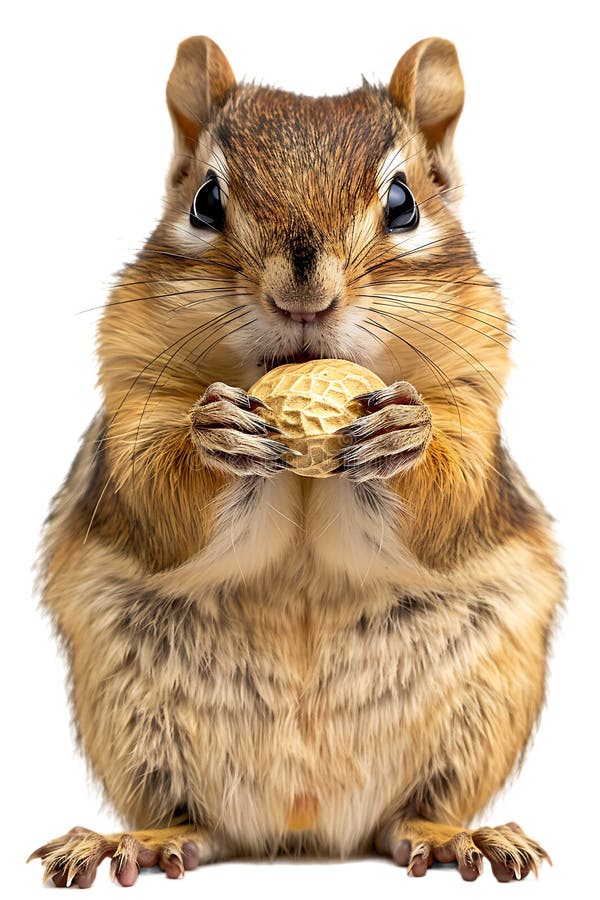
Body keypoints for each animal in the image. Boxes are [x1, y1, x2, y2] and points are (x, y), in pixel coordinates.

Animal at [29, 35, 563, 886]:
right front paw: (214, 436)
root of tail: (304, 828)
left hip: (478, 719)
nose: (302, 296)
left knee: (415, 810)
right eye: (205, 202)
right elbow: (155, 500)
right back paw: (136, 842)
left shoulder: (477, 405)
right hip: (138, 732)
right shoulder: (130, 400)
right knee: (191, 819)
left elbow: (450, 502)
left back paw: (455, 836)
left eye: (404, 204)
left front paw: (404, 436)